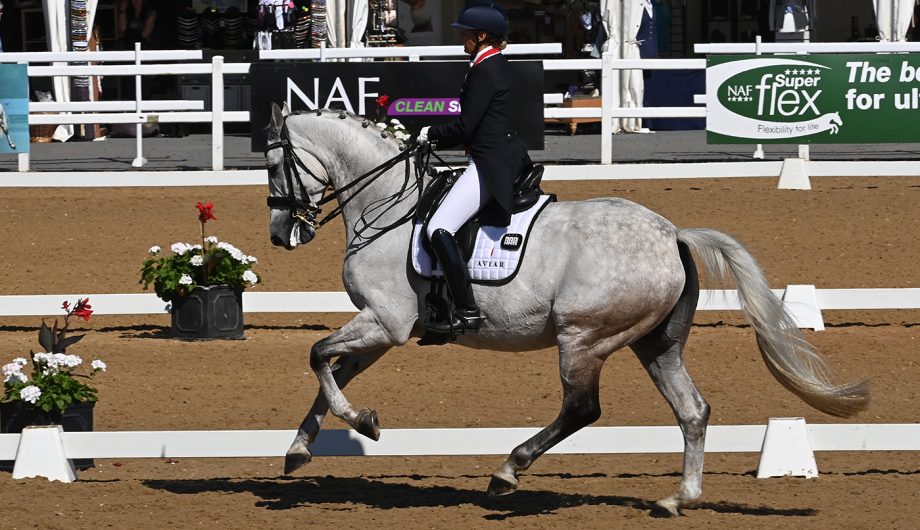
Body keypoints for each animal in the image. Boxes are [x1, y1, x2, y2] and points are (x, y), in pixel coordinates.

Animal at [263, 103, 869, 516]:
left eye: (273, 166)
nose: (281, 234)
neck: (389, 202)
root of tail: (673, 234)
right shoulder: (387, 329)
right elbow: (330, 373)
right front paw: (299, 450)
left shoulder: (386, 323)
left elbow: (317, 356)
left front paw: (363, 423)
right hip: (656, 344)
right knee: (692, 410)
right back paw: (677, 498)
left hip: (583, 338)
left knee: (582, 409)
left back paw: (508, 472)